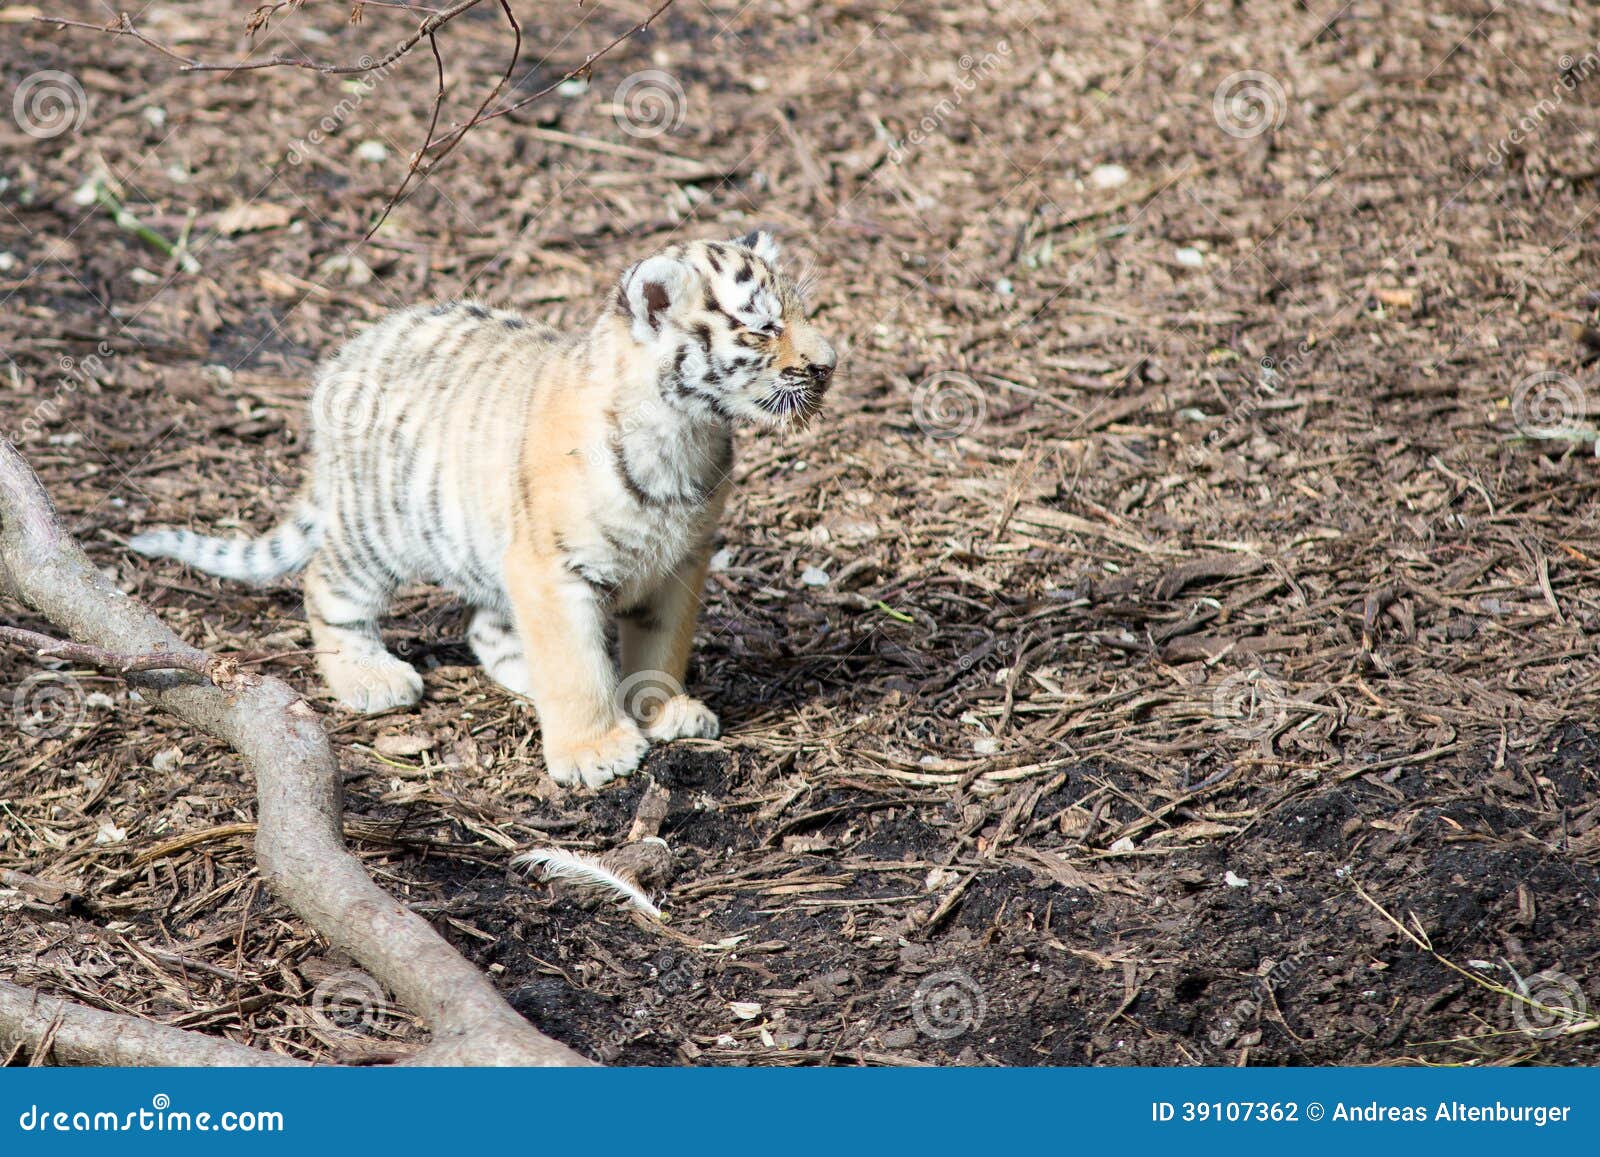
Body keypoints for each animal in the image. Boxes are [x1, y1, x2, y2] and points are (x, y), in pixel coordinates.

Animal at [129, 233, 836, 788]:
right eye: (762, 326)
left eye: (804, 313)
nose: (829, 366)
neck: (686, 431)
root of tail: (345, 357)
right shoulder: (552, 566)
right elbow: (574, 666)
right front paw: (595, 751)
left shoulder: (679, 562)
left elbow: (660, 647)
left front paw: (662, 711)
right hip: (380, 532)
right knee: (326, 585)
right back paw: (368, 678)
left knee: (488, 630)